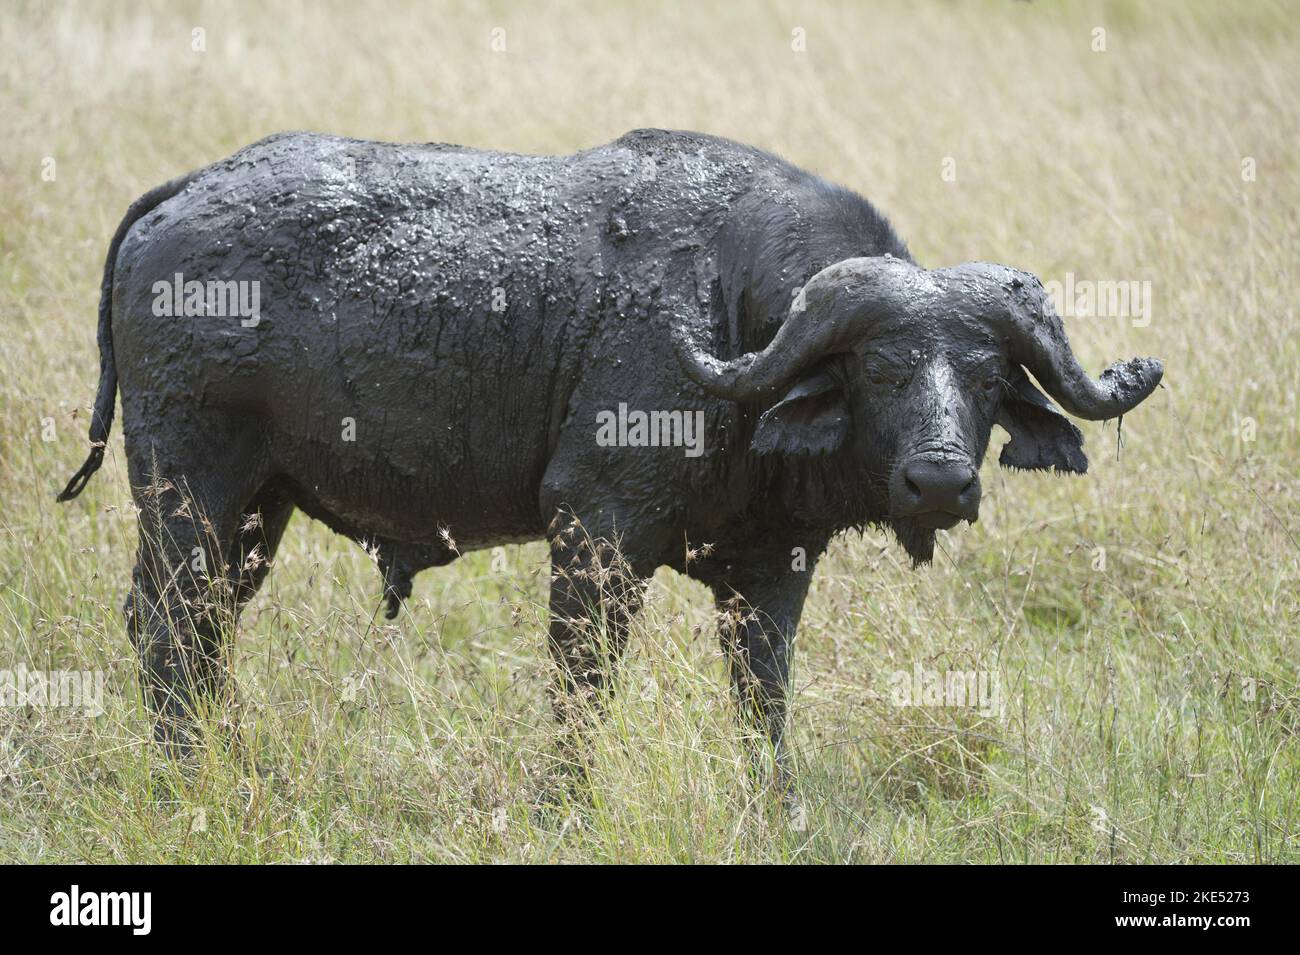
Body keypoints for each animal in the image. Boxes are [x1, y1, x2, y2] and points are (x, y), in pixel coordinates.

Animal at [58, 129, 1162, 775]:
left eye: (984, 379)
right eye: (882, 372)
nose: (938, 480)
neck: (735, 320)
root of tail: (183, 193)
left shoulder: (771, 570)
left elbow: (763, 705)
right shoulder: (596, 532)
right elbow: (580, 694)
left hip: (258, 507)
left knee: (200, 634)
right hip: (191, 491)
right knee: (167, 630)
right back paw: (189, 780)